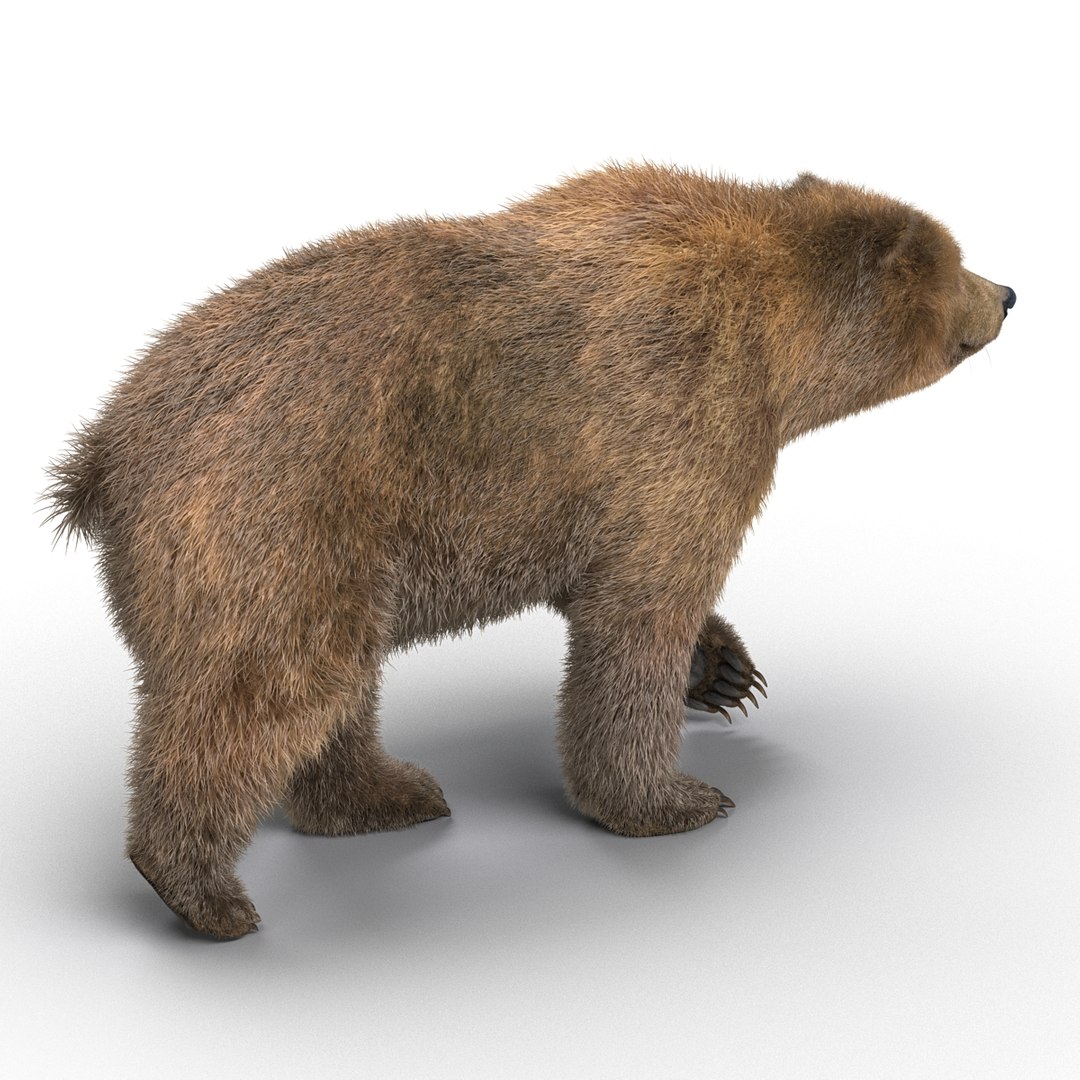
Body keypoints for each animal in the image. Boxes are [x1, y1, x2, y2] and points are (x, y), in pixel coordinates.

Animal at [46, 163, 1015, 939]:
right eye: (957, 259)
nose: (1008, 292)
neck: (774, 336)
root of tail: (102, 454)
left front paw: (728, 672)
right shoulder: (683, 421)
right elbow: (638, 614)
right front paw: (674, 796)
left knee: (333, 689)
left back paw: (385, 794)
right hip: (274, 519)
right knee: (264, 693)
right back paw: (203, 891)